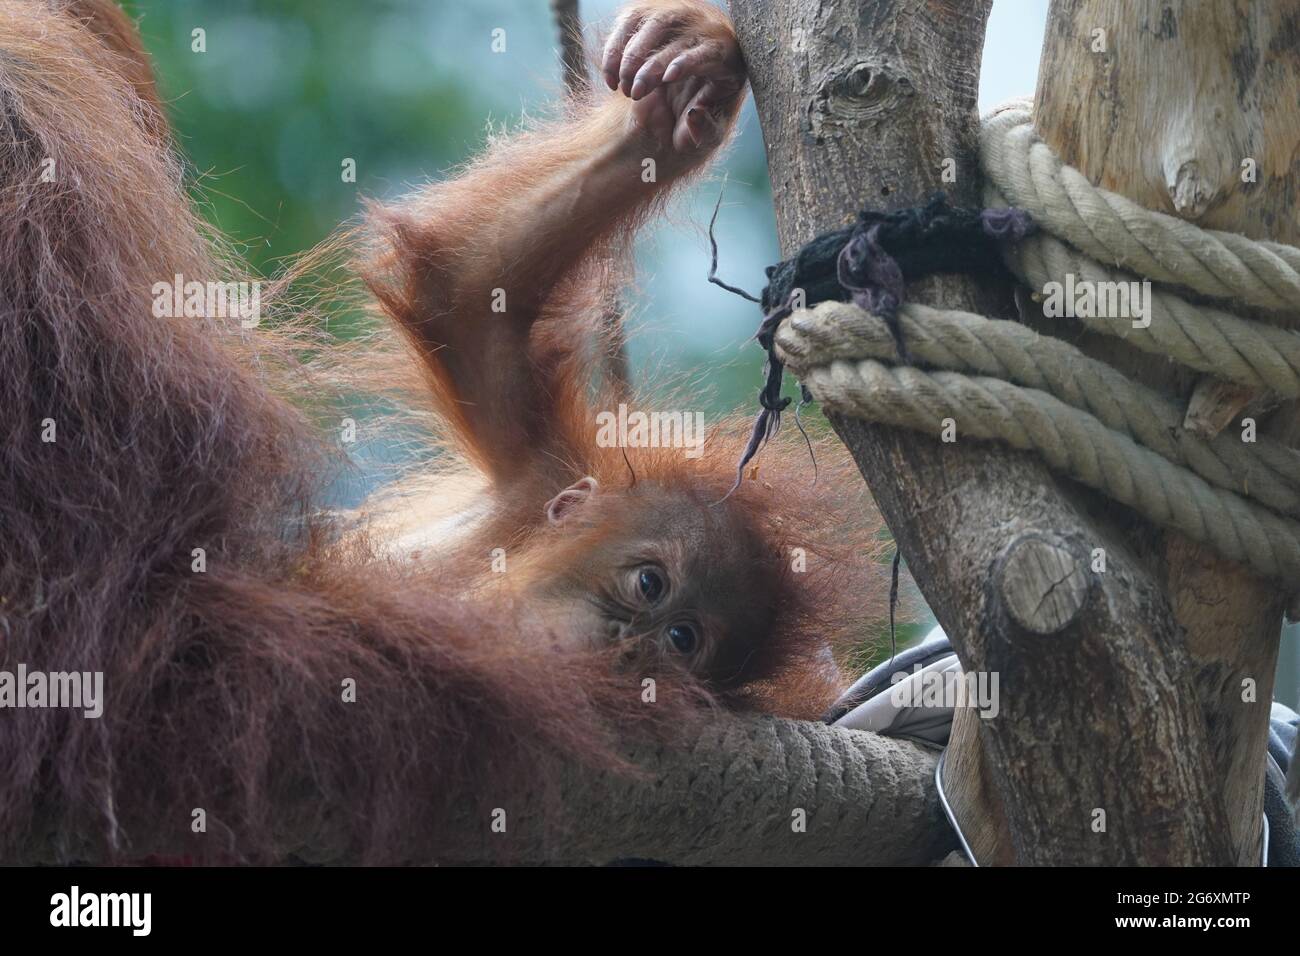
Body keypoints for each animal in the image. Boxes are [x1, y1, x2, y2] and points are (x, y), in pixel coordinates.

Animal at [0, 0, 886, 864]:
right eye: (649, 587)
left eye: (681, 641)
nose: (626, 650)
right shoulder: (536, 472)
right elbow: (470, 290)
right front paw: (683, 86)